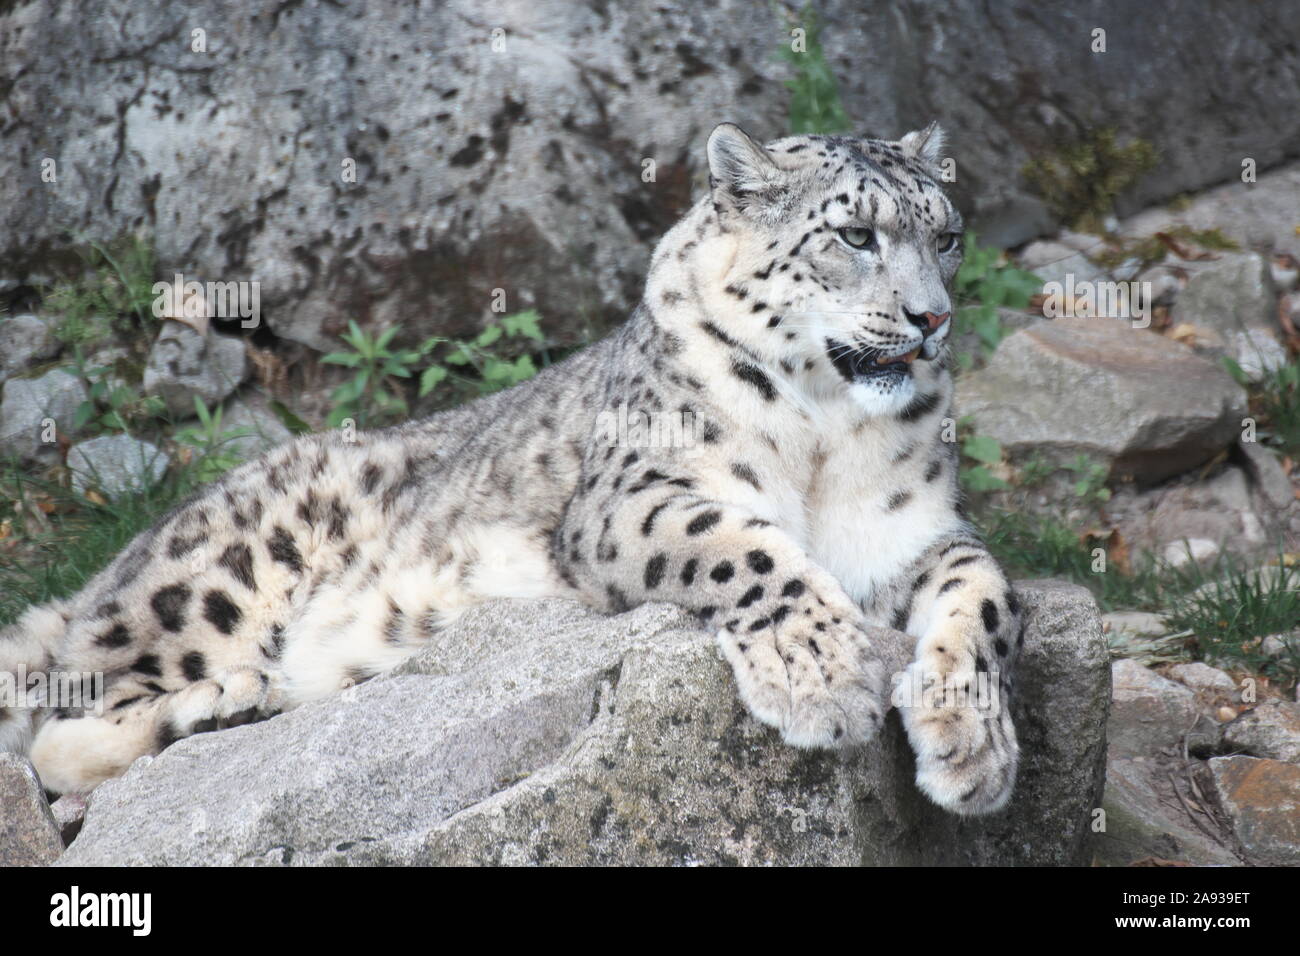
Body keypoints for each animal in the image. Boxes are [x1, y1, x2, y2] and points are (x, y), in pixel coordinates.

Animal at [0, 121, 1022, 815]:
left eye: (948, 236)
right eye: (854, 235)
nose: (932, 318)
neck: (825, 438)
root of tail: (106, 573)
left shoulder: (908, 536)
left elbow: (986, 594)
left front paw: (972, 744)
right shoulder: (632, 498)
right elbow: (745, 547)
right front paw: (823, 677)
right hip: (214, 581)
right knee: (56, 727)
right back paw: (223, 704)